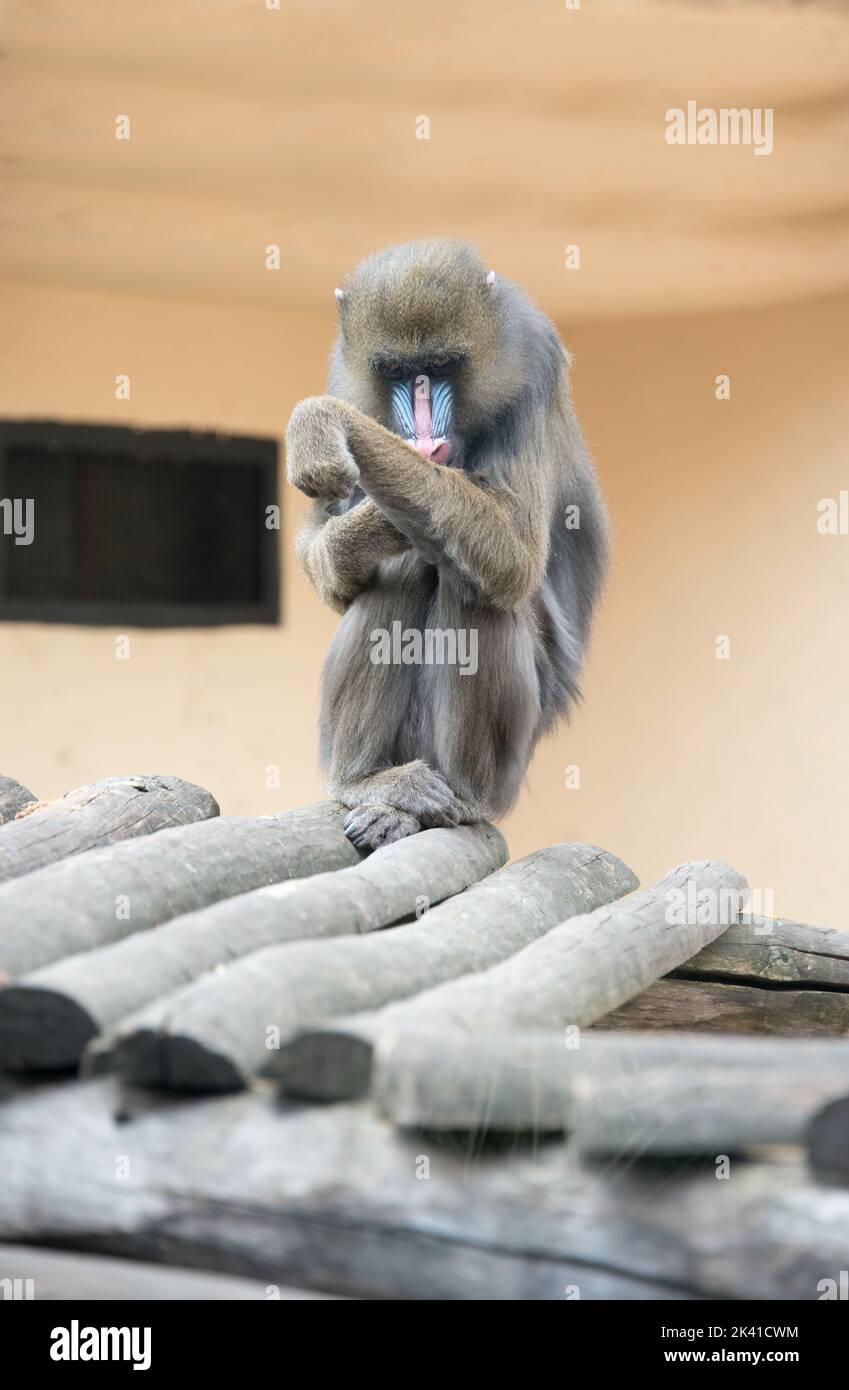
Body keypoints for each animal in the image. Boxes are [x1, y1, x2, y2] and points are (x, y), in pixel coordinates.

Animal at [285, 238, 609, 851]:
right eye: (394, 369)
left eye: (439, 367)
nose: (423, 439)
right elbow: (326, 560)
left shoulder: (535, 376)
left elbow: (512, 553)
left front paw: (325, 420)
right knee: (406, 568)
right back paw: (368, 782)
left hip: (513, 756)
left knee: (472, 584)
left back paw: (461, 797)